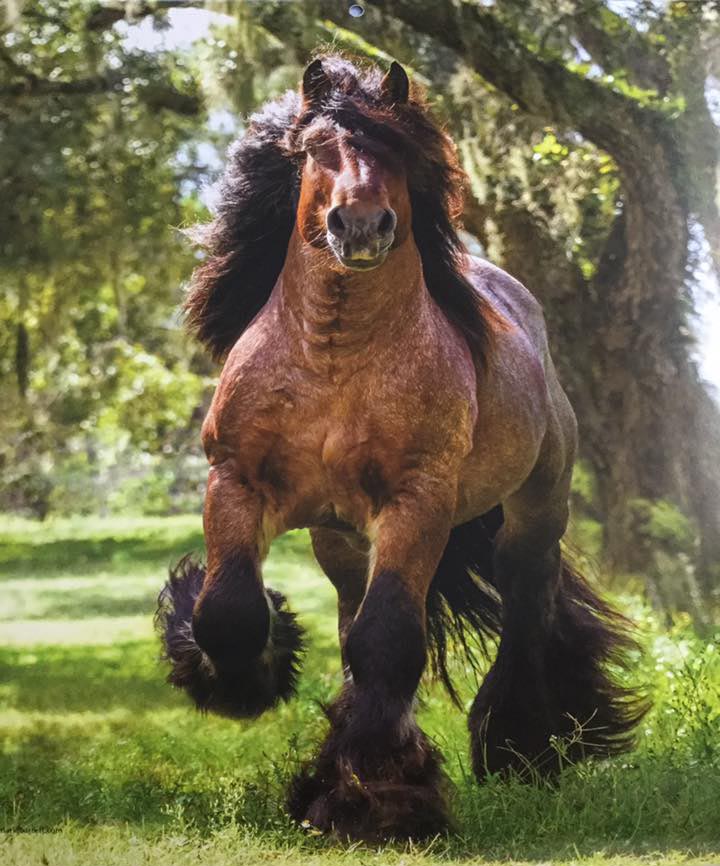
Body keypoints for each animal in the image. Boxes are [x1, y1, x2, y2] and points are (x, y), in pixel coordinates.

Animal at [155, 55, 648, 842]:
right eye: (316, 147)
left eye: (396, 151)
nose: (360, 224)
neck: (333, 358)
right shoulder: (236, 481)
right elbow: (228, 612)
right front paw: (247, 683)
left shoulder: (417, 500)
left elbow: (389, 641)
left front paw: (378, 802)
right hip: (343, 542)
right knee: (351, 617)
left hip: (534, 509)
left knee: (526, 599)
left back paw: (520, 749)